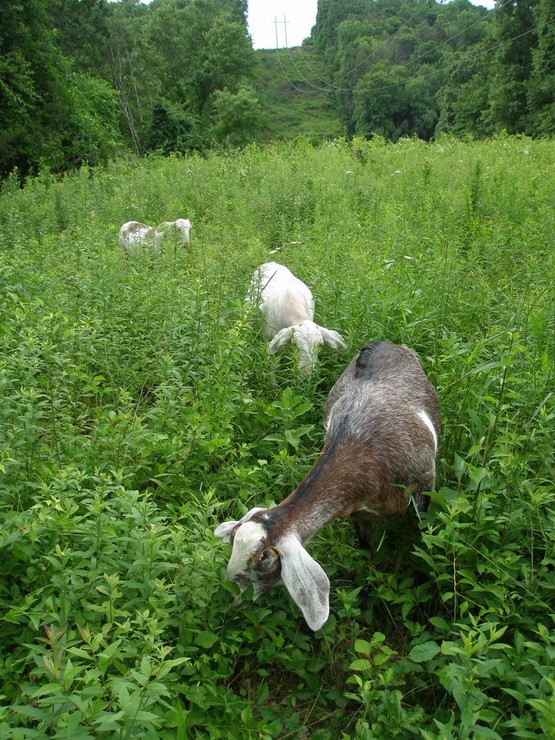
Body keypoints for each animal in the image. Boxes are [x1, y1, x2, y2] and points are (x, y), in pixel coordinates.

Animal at [215, 341, 441, 631]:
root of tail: (383, 343)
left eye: (263, 559)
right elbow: (367, 549)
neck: (363, 453)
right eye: (232, 541)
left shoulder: (425, 481)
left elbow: (424, 537)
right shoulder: (358, 511)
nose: (231, 599)